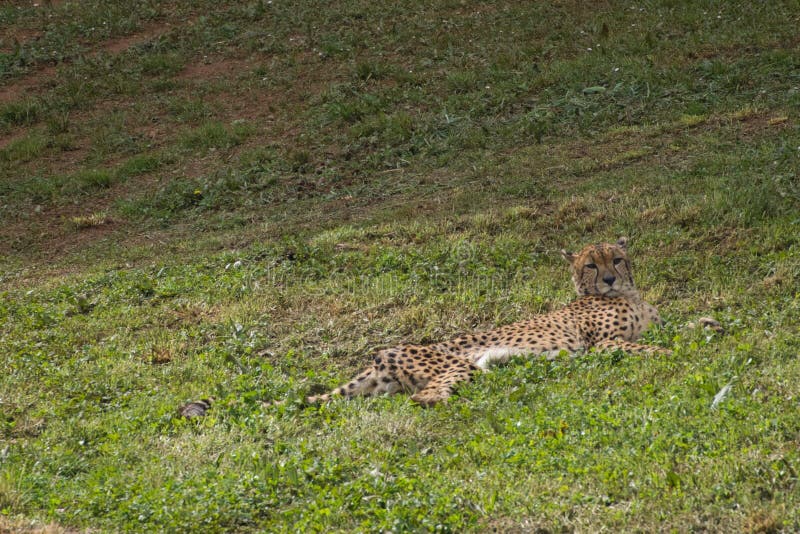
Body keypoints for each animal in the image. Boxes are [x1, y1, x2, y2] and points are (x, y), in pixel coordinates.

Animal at [267, 237, 669, 408]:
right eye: (590, 265)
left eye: (616, 260)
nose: (609, 279)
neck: (627, 294)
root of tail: (381, 356)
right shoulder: (602, 343)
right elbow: (648, 347)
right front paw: (668, 355)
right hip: (458, 367)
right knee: (426, 397)